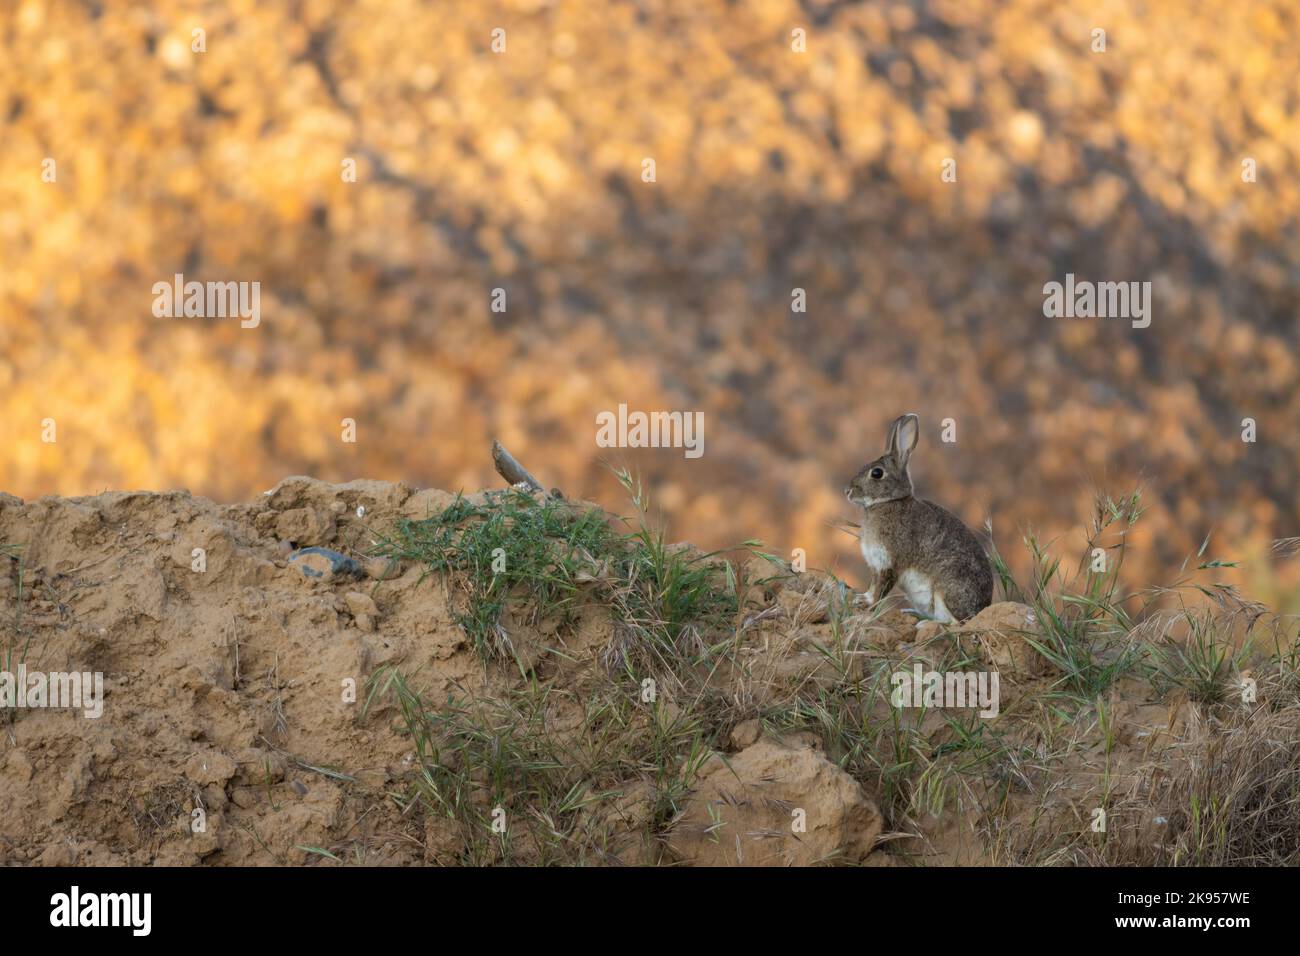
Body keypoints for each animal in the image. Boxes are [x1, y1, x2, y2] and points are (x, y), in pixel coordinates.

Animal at [844, 413, 992, 623]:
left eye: (877, 473)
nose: (848, 491)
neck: (889, 501)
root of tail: (980, 609)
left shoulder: (889, 562)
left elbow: (881, 588)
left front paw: (868, 605)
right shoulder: (876, 564)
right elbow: (873, 585)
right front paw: (861, 598)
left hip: (946, 591)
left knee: (955, 624)